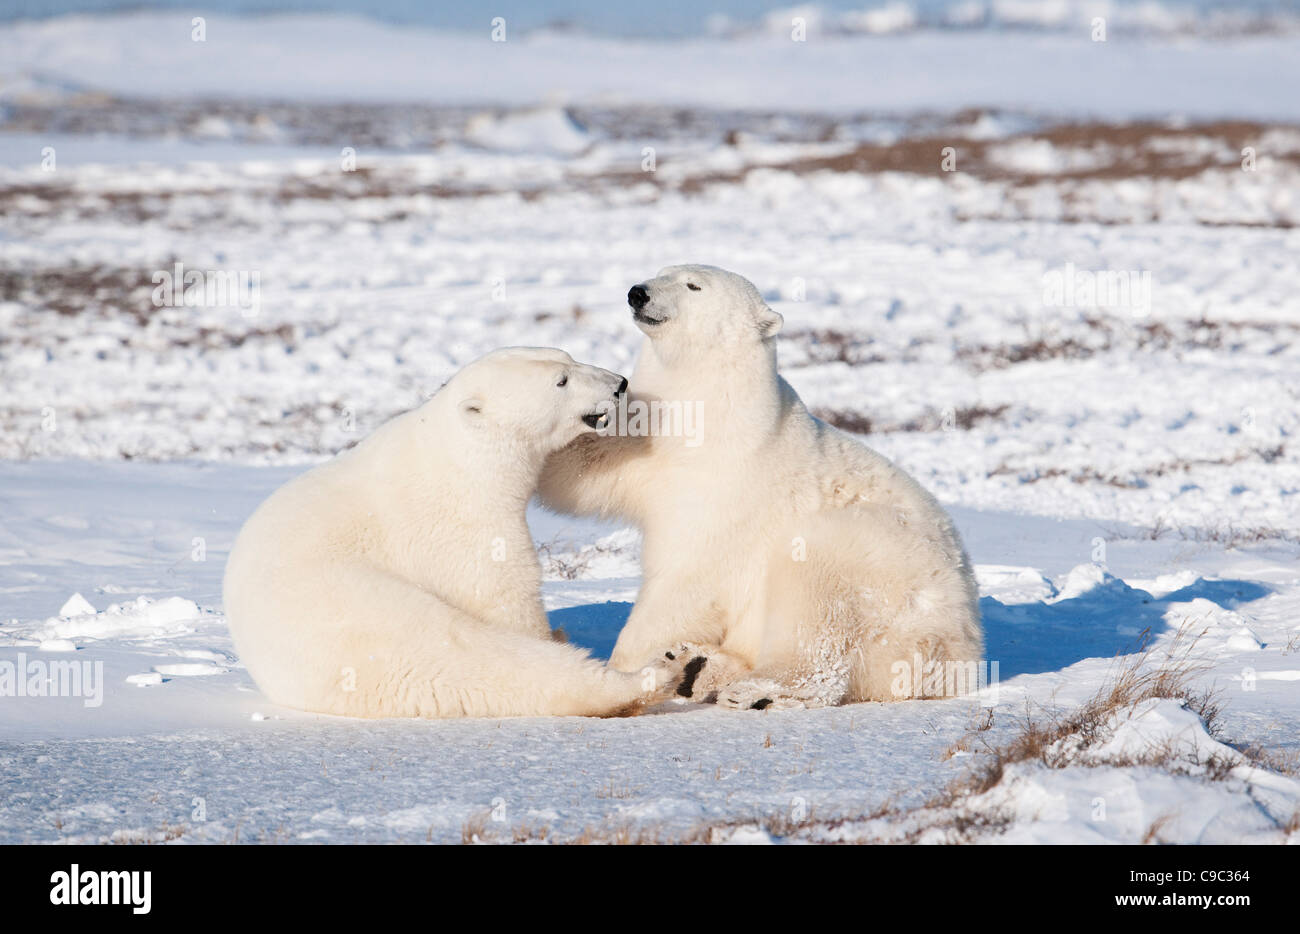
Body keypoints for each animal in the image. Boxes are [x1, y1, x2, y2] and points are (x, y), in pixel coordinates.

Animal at [223, 347, 692, 719]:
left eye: (570, 357)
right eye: (560, 380)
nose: (620, 384)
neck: (463, 458)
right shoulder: (459, 523)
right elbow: (502, 595)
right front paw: (546, 630)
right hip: (364, 618)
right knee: (474, 658)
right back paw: (659, 671)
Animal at [539, 266, 984, 709]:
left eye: (693, 285)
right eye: (660, 272)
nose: (637, 293)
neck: (706, 413)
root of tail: (962, 650)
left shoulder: (727, 484)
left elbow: (687, 577)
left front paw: (626, 671)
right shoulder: (645, 442)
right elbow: (583, 468)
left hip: (884, 566)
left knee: (814, 593)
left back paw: (755, 689)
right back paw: (697, 668)